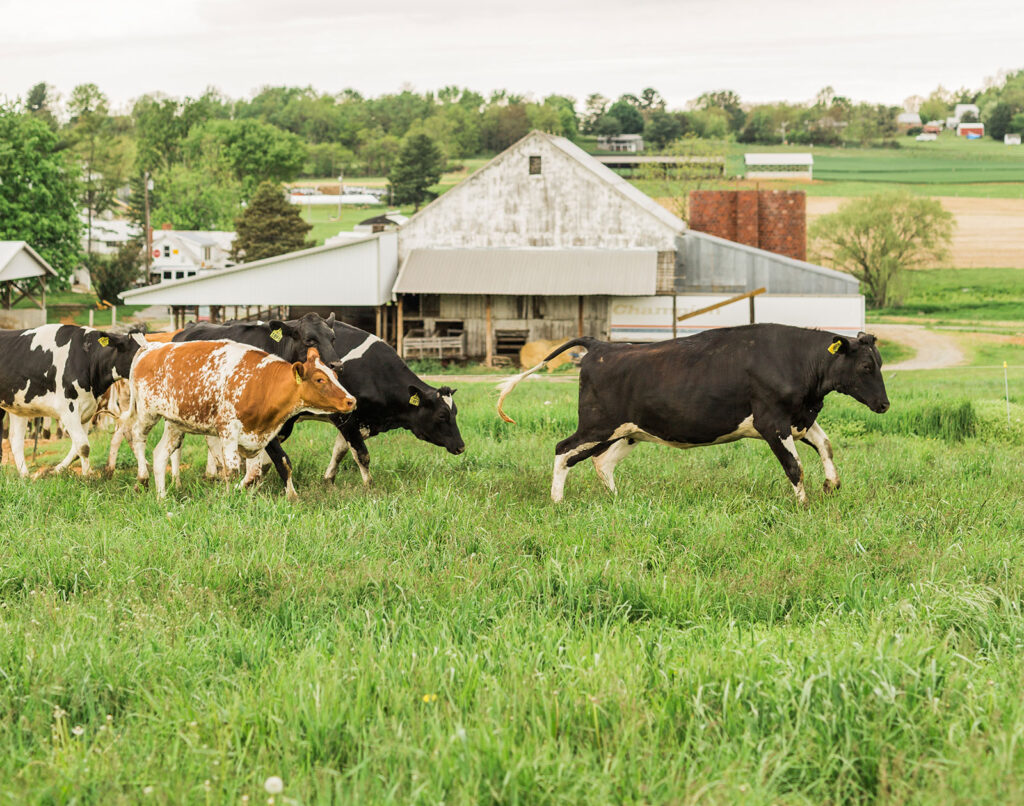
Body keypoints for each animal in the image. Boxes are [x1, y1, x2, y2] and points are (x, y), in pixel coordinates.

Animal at [0, 325, 144, 478]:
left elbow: (77, 447)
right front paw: (88, 476)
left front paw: (55, 470)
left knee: (16, 440)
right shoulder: (68, 410)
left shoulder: (87, 411)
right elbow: (83, 446)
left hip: (17, 406)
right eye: (136, 352)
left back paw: (25, 476)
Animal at [128, 342, 356, 499]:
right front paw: (228, 497)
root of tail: (152, 346)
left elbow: (253, 474)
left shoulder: (256, 438)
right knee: (137, 436)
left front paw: (240, 493)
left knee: (160, 454)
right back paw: (142, 477)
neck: (261, 383)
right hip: (147, 413)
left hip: (175, 424)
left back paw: (162, 497)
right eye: (320, 379)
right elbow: (232, 470)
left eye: (335, 375)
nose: (351, 400)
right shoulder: (228, 431)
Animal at [496, 325, 890, 505]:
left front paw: (831, 484)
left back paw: (616, 499)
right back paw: (557, 501)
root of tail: (600, 345)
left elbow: (826, 446)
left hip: (628, 431)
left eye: (880, 363)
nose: (885, 405)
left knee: (601, 462)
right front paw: (804, 505)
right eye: (866, 366)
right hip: (596, 424)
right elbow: (795, 467)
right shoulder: (771, 422)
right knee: (563, 450)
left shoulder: (799, 419)